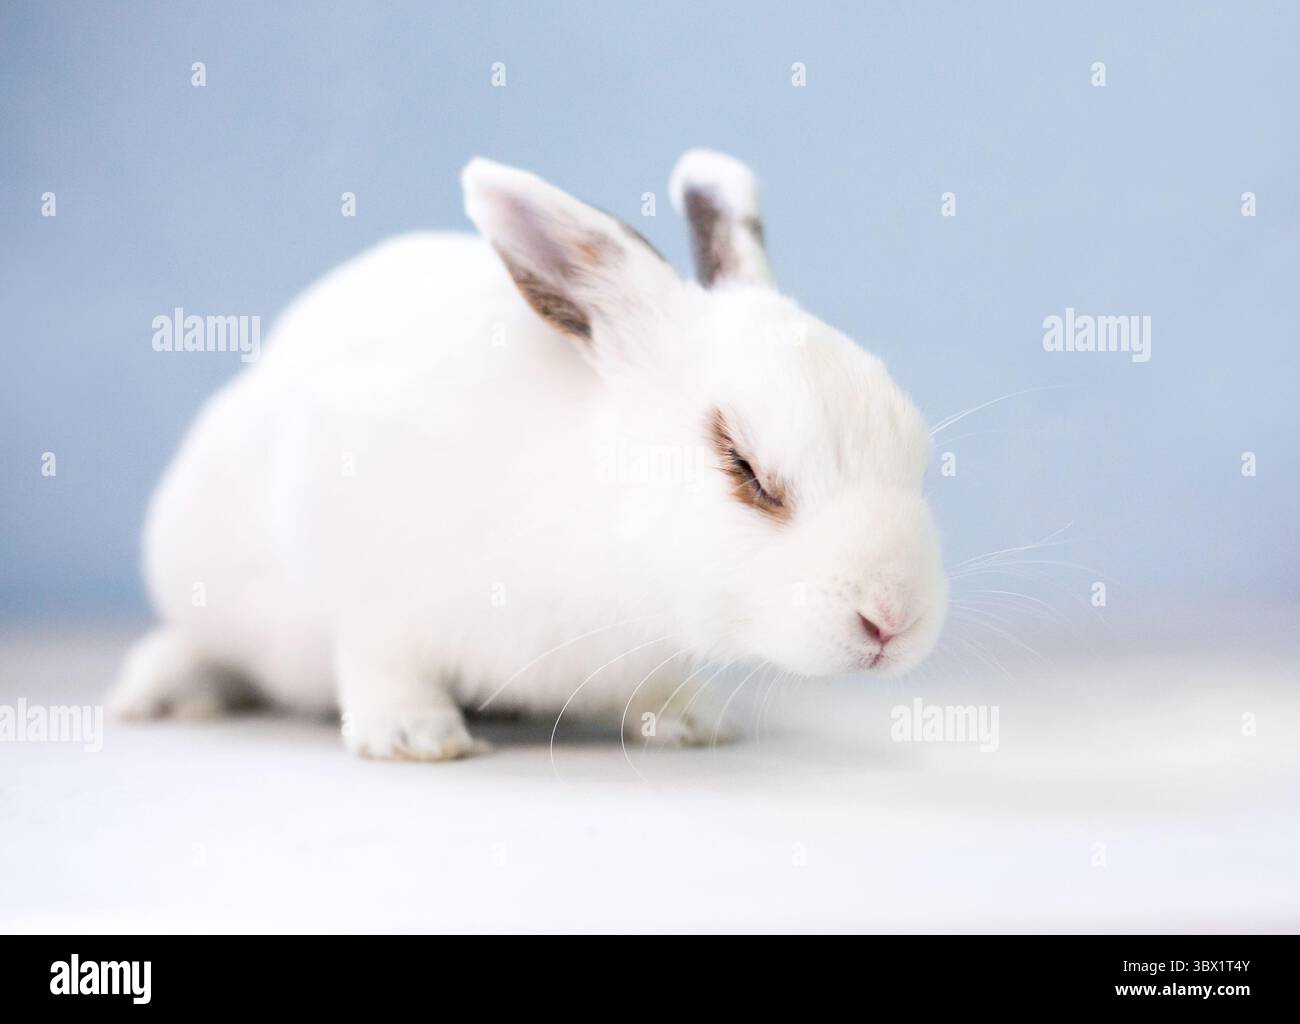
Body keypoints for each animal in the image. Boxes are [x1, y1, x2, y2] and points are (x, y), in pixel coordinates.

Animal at [108, 149, 948, 760]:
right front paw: (416, 738)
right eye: (743, 465)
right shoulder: (360, 574)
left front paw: (689, 724)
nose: (892, 620)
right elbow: (383, 661)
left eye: (914, 446)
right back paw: (155, 695)